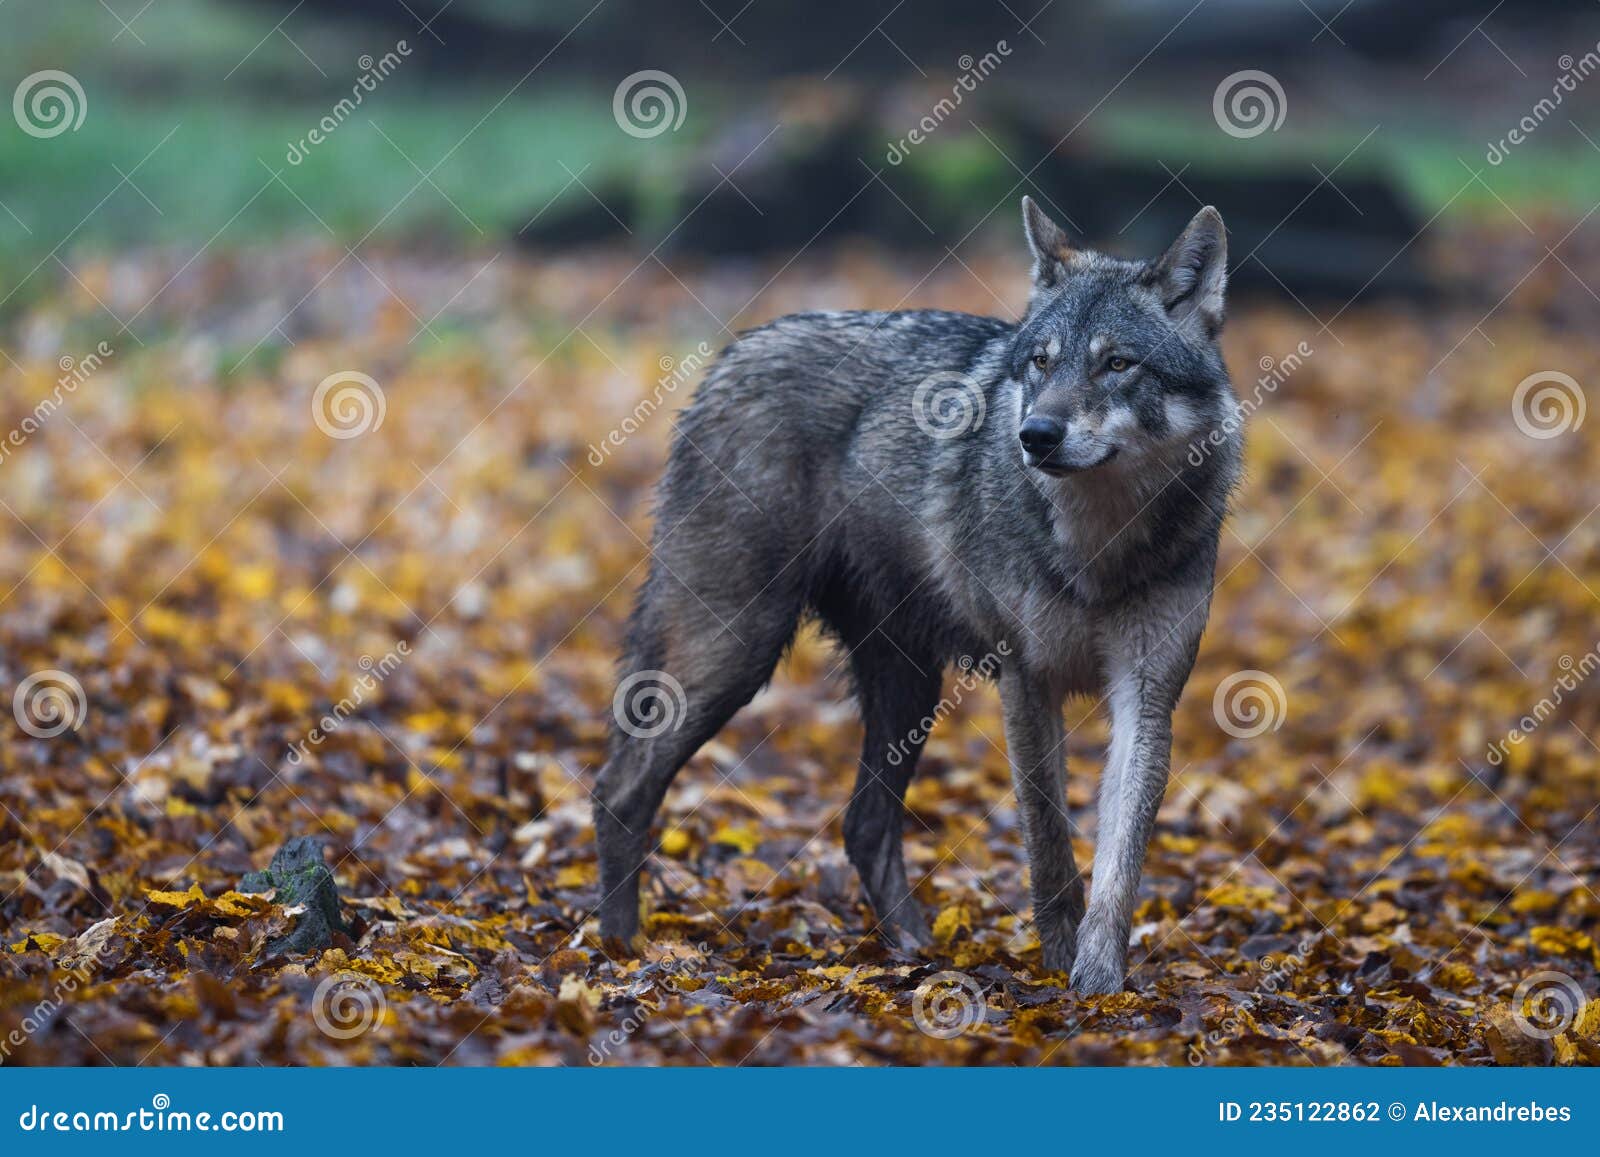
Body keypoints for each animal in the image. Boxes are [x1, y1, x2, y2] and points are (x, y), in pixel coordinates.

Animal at [593, 198, 1242, 992]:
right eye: (1041, 361)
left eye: (1117, 363)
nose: (1036, 435)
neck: (1099, 546)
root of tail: (734, 351)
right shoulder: (1027, 681)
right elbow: (1050, 846)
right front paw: (1059, 970)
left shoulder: (1146, 694)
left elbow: (1120, 859)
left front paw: (1099, 982)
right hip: (733, 654)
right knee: (620, 790)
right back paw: (624, 951)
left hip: (905, 685)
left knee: (863, 822)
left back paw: (913, 951)